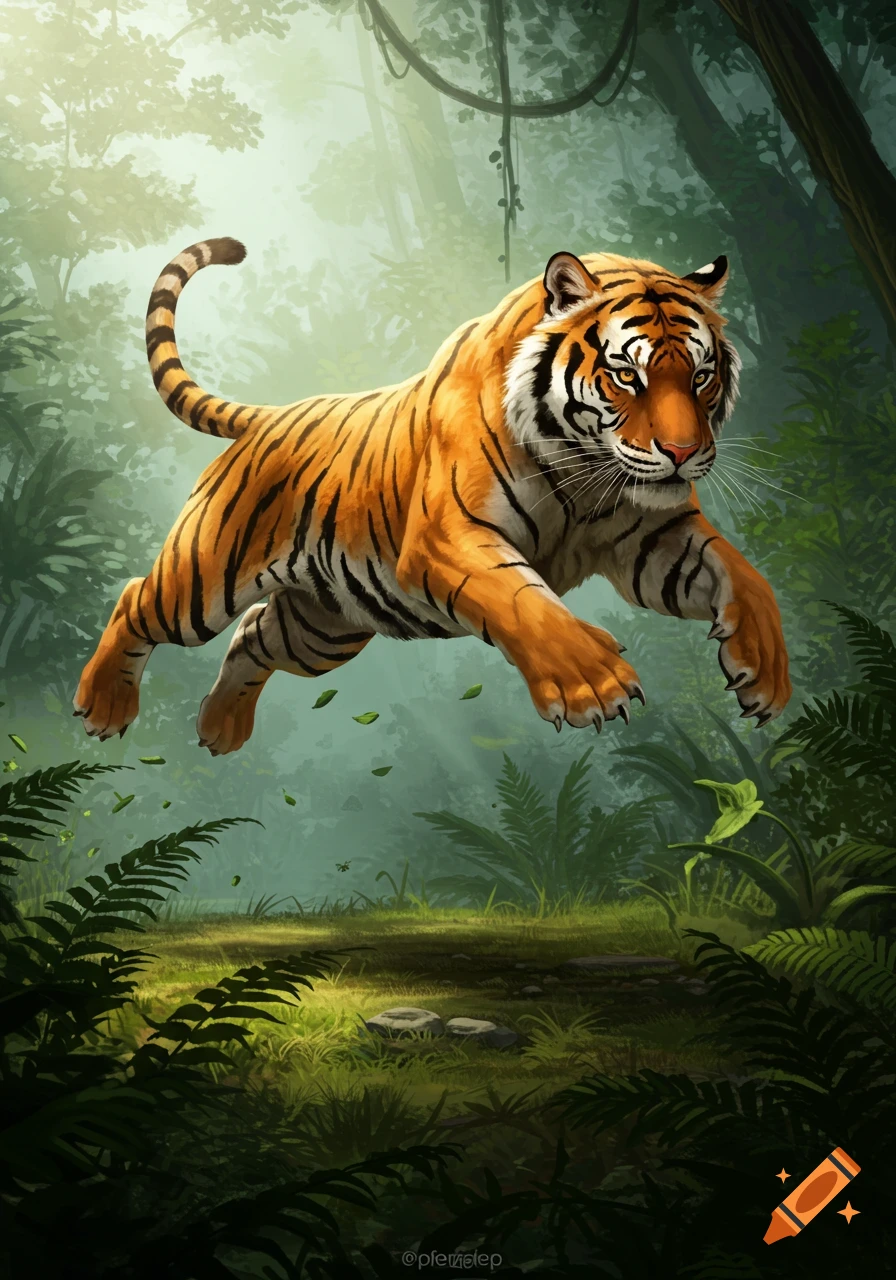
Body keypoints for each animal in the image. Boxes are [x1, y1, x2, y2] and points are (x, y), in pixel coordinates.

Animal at [74, 237, 791, 755]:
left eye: (701, 376)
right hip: (204, 578)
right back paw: (104, 705)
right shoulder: (450, 538)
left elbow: (747, 576)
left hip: (323, 626)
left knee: (253, 636)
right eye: (626, 375)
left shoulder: (653, 538)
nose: (682, 452)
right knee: (136, 600)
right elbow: (523, 600)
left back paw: (221, 727)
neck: (585, 470)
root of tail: (270, 415)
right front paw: (594, 683)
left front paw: (765, 670)